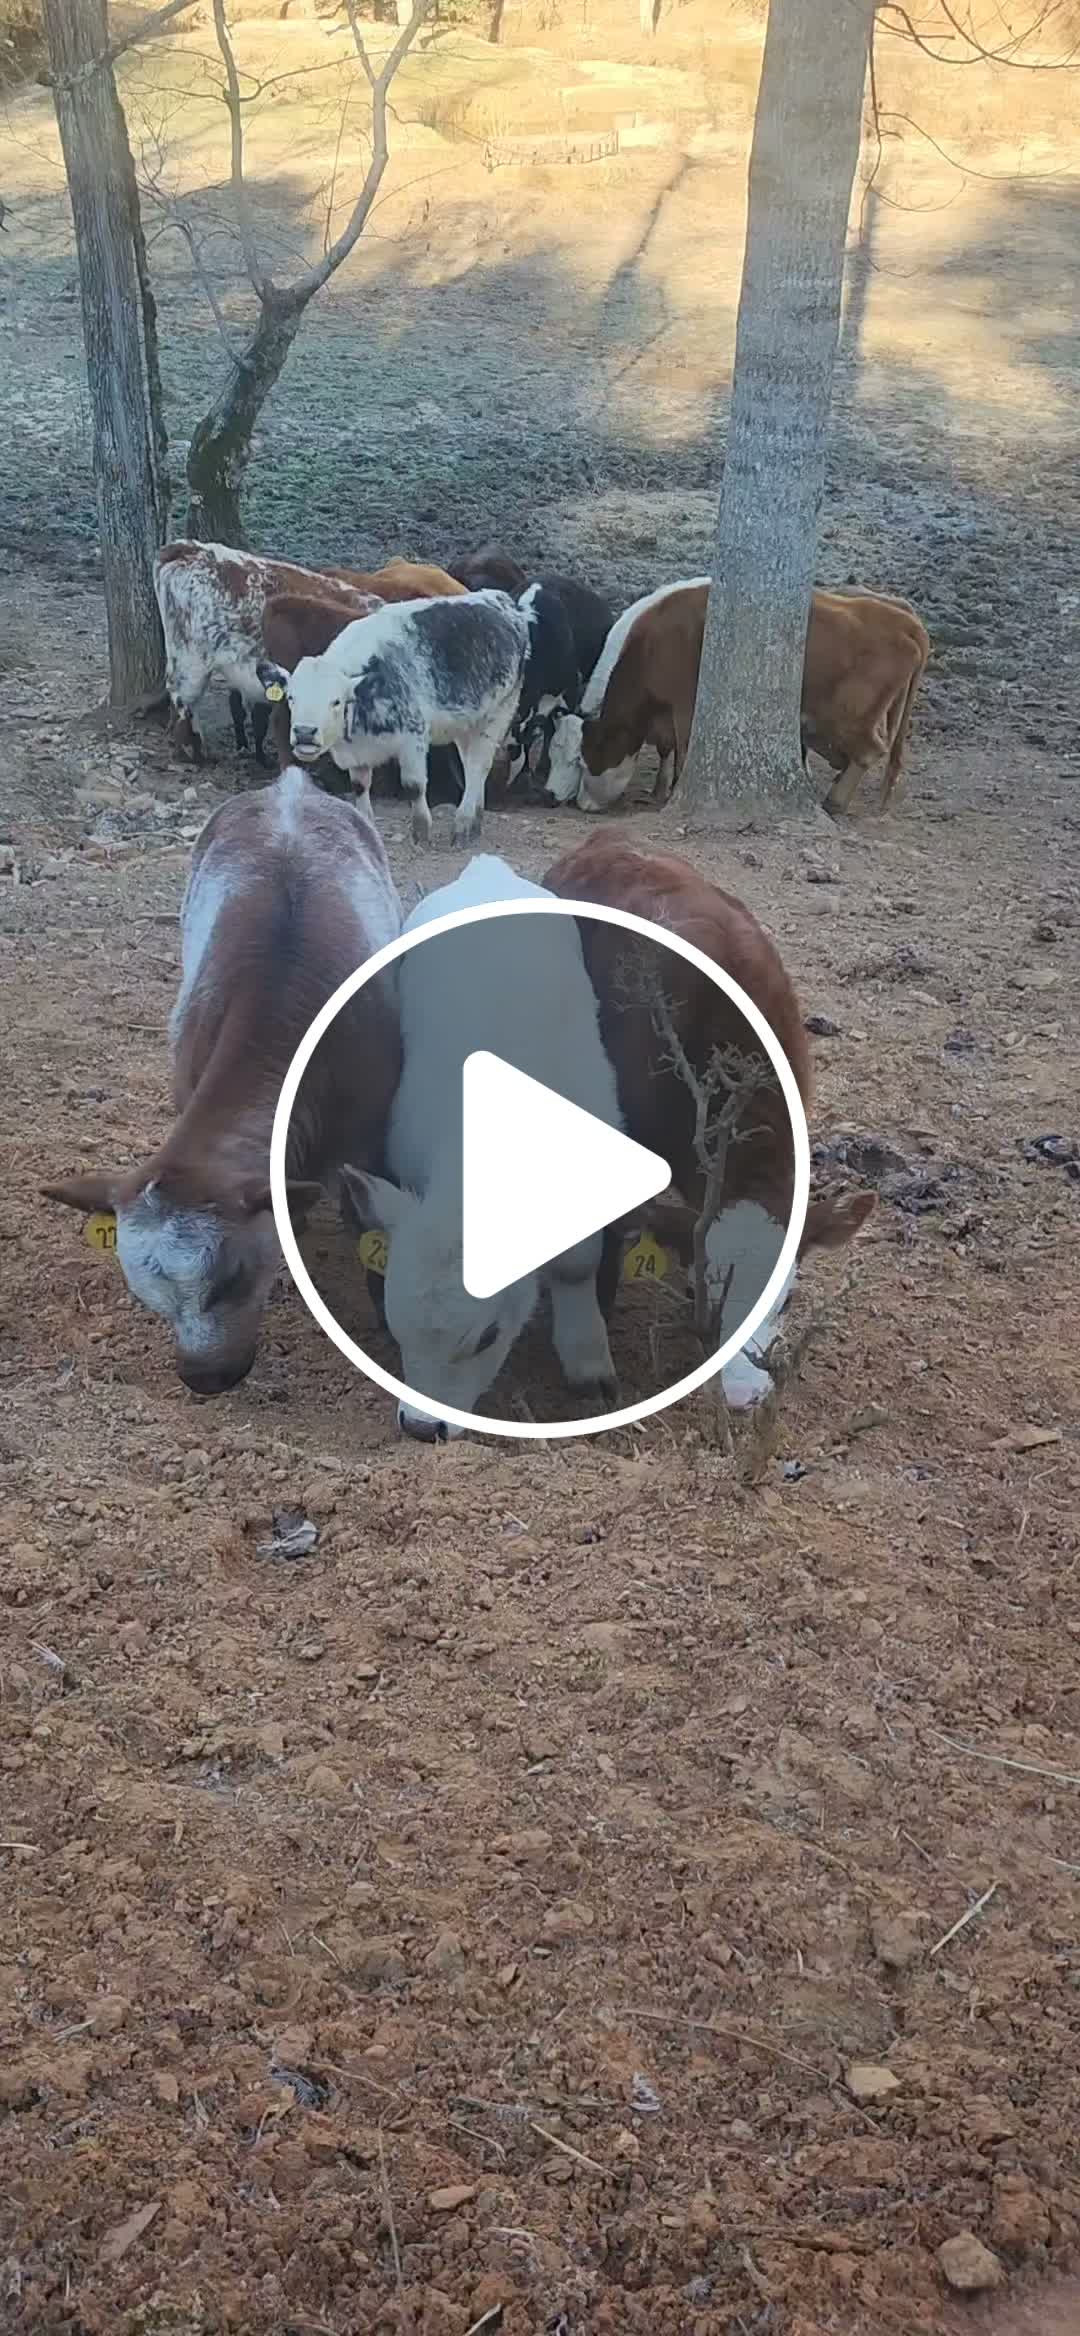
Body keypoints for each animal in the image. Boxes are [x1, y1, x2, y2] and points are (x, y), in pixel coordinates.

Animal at [256, 591, 530, 847]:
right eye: (291, 697)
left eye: (336, 701)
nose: (304, 733)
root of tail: (501, 600)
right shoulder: (357, 755)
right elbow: (359, 787)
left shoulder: (414, 737)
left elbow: (414, 786)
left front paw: (422, 834)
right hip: (467, 724)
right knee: (470, 765)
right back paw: (475, 822)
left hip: (498, 713)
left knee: (477, 767)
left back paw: (463, 824)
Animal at [341, 854, 624, 1440]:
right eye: (397, 1326)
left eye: (488, 1335)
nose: (421, 1427)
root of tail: (484, 869)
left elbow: (577, 1264)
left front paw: (588, 1362)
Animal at [546, 579, 930, 817]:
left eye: (581, 760)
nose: (559, 798)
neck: (654, 640)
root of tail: (901, 620)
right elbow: (666, 749)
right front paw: (659, 789)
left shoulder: (686, 707)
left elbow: (684, 750)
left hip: (850, 718)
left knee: (870, 752)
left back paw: (834, 801)